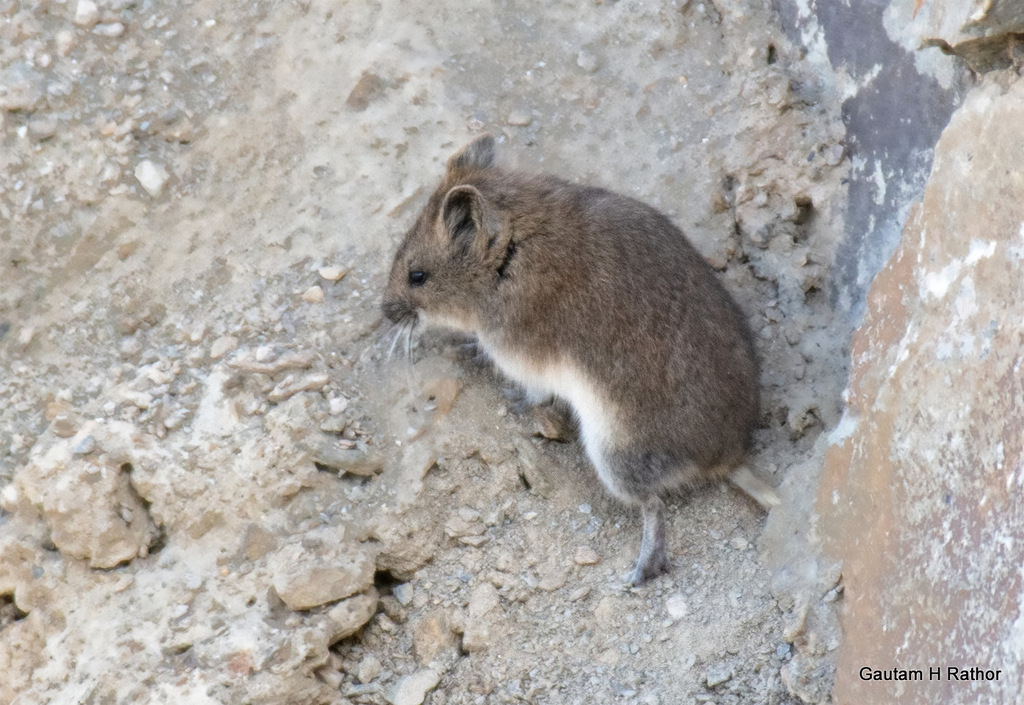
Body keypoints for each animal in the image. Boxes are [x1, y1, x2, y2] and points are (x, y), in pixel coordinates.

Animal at [382, 134, 775, 585]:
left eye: (417, 276)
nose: (384, 312)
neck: (510, 252)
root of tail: (729, 458)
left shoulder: (522, 357)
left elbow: (533, 393)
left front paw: (511, 397)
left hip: (613, 452)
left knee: (653, 505)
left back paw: (640, 570)